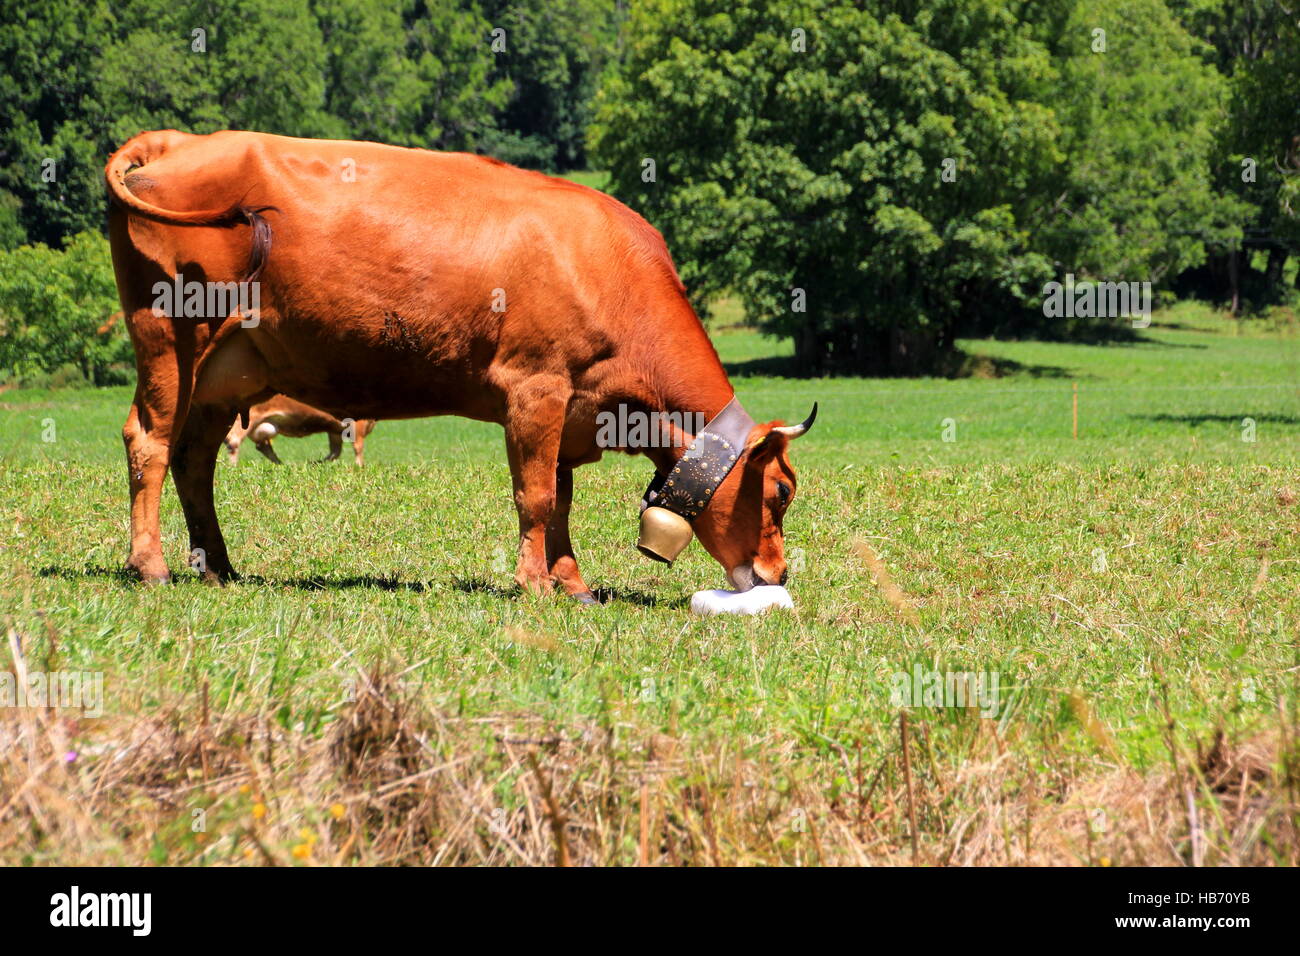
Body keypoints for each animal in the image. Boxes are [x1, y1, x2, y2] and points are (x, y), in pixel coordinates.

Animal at [224, 395, 376, 465]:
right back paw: (233, 466)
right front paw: (359, 467)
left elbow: (335, 452)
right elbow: (358, 448)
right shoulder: (358, 424)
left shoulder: (336, 429)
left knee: (264, 447)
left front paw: (316, 463)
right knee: (233, 442)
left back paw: (281, 464)